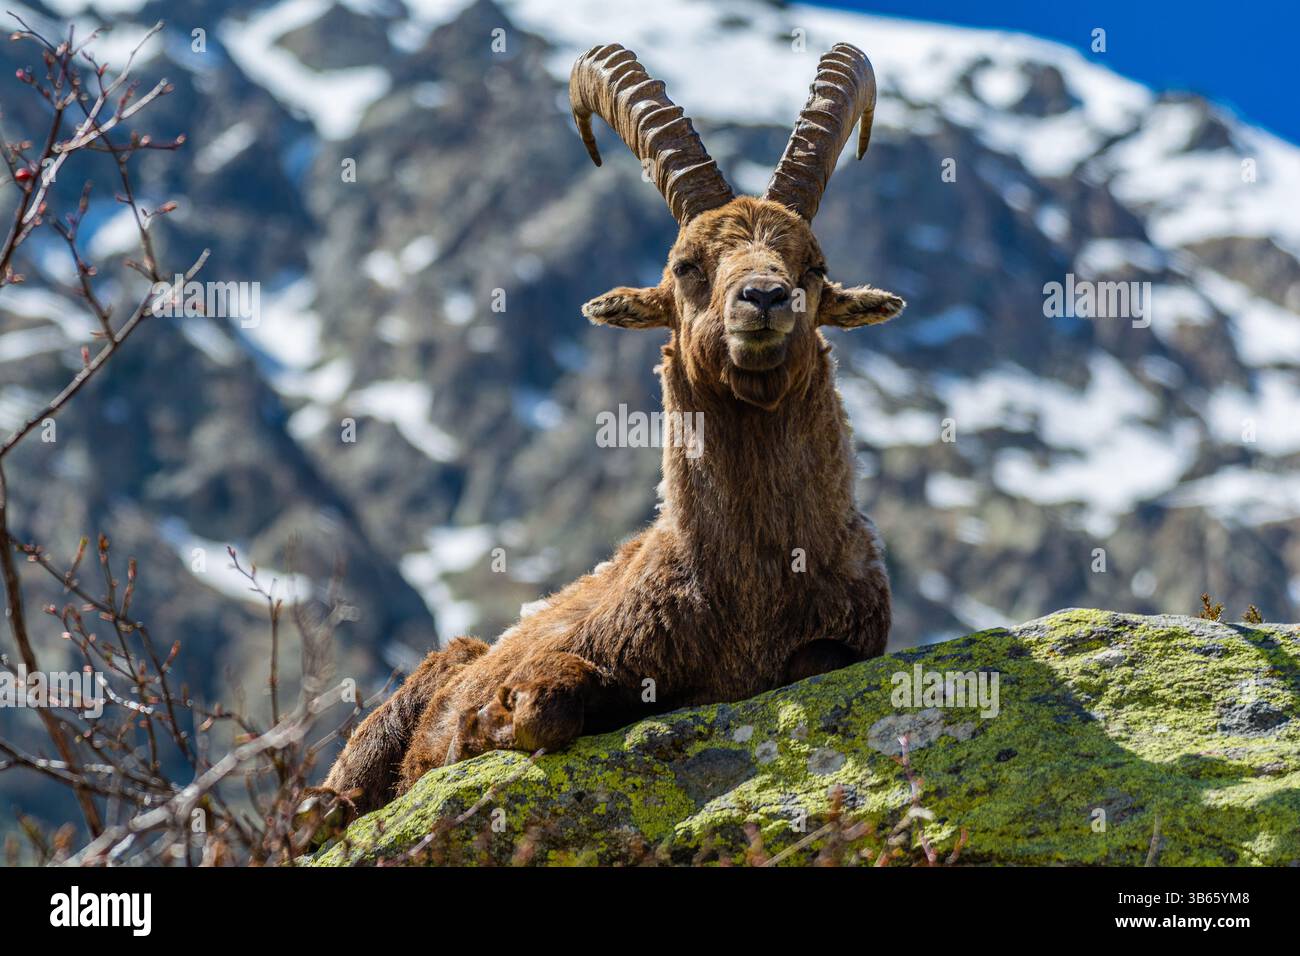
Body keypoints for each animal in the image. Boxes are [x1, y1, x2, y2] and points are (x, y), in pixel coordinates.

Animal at [323, 42, 904, 816]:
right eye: (685, 265)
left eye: (815, 265)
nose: (765, 298)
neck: (752, 584)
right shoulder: (583, 652)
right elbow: (550, 702)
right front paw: (483, 726)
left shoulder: (847, 639)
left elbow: (811, 661)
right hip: (388, 723)